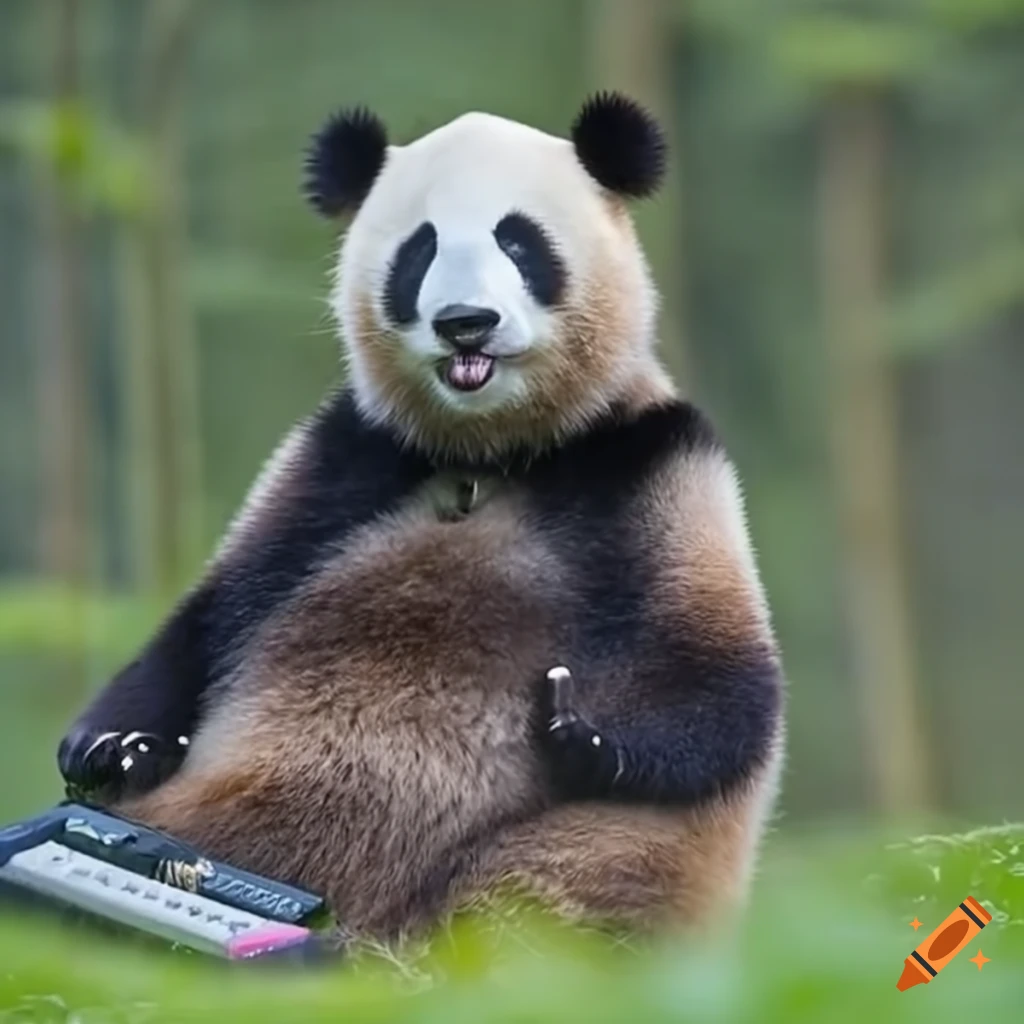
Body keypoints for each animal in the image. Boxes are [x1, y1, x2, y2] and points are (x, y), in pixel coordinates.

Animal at [57, 93, 785, 948]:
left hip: (557, 866)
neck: (491, 451)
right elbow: (204, 624)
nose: (465, 322)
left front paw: (580, 732)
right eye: (420, 249)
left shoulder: (655, 465)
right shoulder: (343, 461)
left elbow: (723, 682)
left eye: (518, 240)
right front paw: (113, 746)